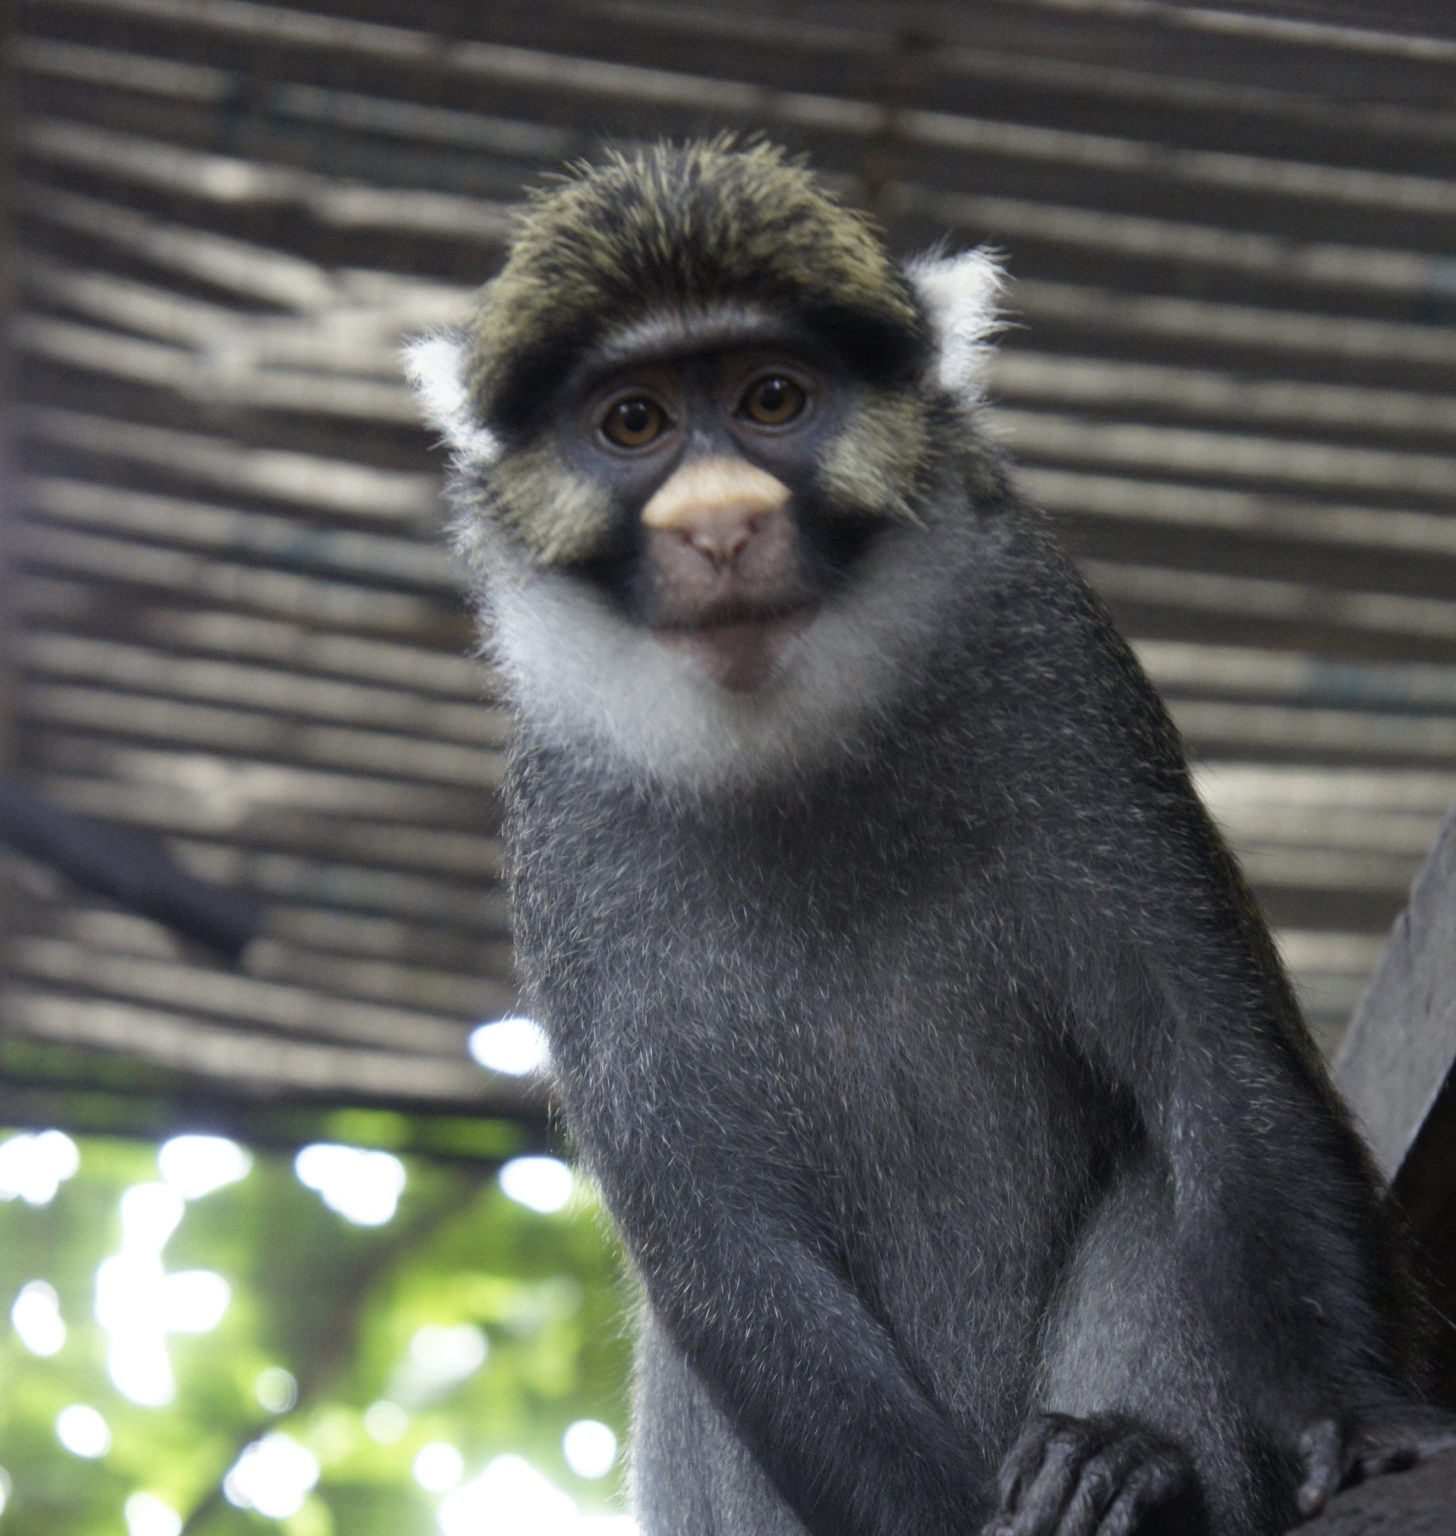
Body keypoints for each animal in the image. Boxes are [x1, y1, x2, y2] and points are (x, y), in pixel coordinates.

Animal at [407, 139, 1456, 1535]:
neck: (797, 762)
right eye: (632, 422)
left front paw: (1360, 1419)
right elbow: (720, 1257)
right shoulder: (569, 853)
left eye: (773, 398)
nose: (719, 523)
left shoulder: (1061, 684)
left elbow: (1219, 1075)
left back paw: (1126, 1474)